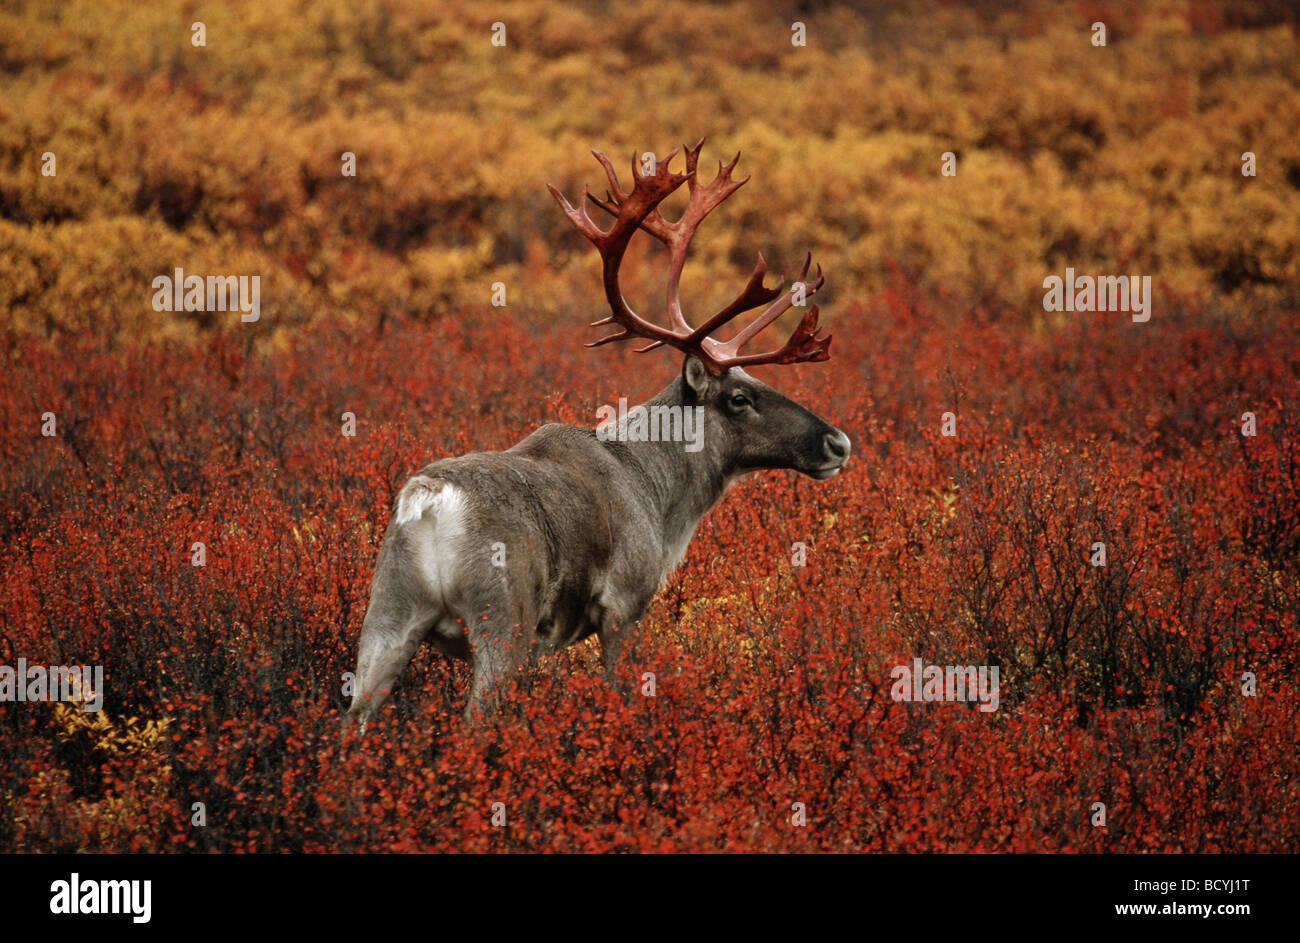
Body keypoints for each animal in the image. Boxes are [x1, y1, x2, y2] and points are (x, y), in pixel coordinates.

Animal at [346, 141, 851, 730]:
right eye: (738, 398)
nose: (837, 443)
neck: (661, 496)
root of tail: (428, 502)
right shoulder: (624, 603)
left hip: (386, 614)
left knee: (351, 720)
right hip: (502, 622)